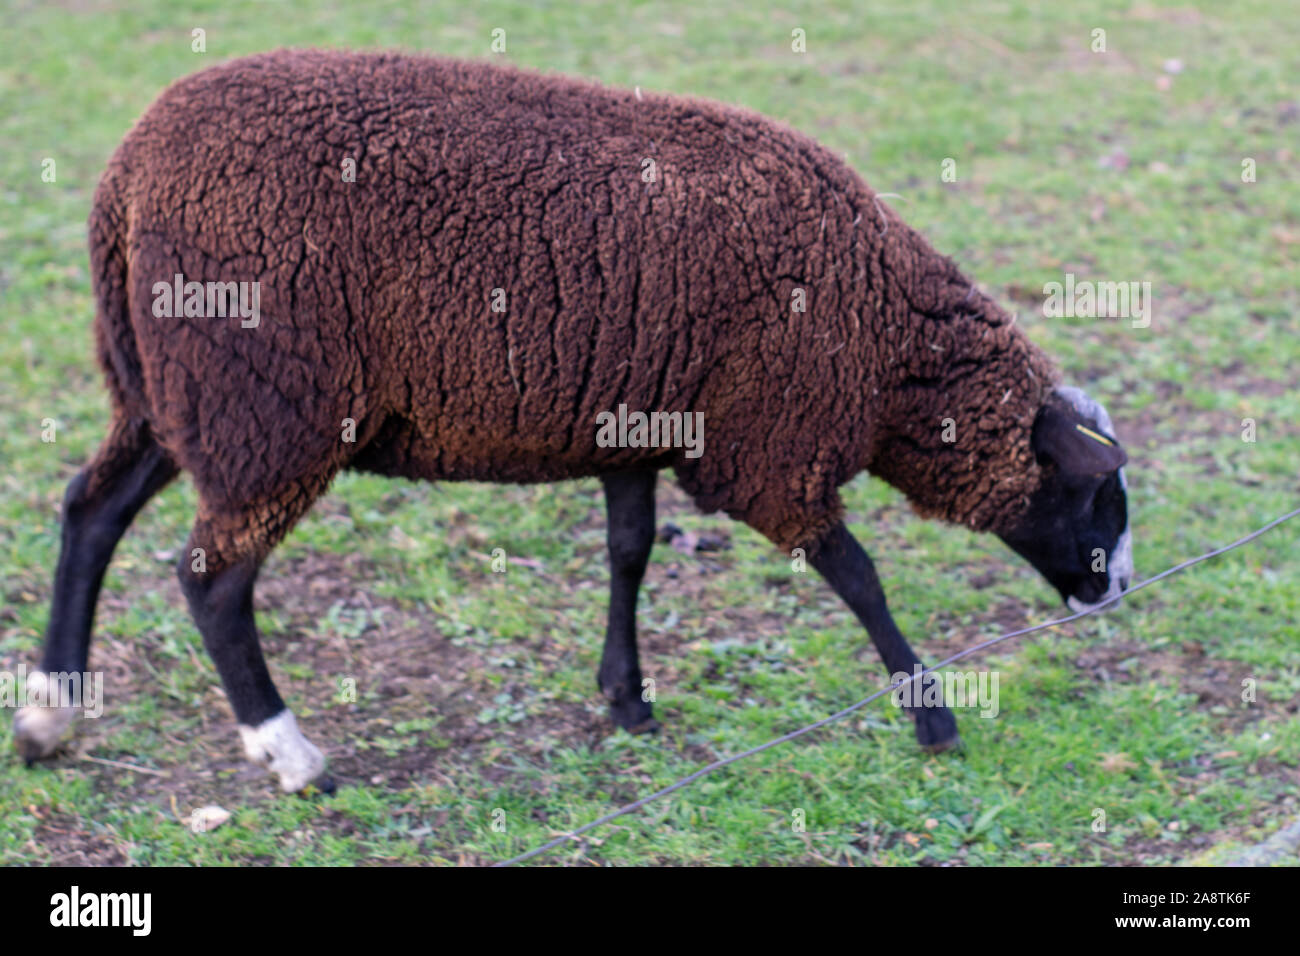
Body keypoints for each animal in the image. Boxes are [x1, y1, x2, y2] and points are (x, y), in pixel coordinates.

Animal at [15, 49, 1131, 793]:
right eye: (1095, 498)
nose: (1112, 595)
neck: (888, 348)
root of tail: (125, 180)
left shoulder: (636, 420)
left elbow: (629, 549)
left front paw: (625, 697)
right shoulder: (769, 444)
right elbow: (856, 575)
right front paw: (931, 715)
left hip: (170, 390)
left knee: (89, 513)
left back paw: (47, 716)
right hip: (265, 402)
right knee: (211, 580)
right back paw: (289, 753)